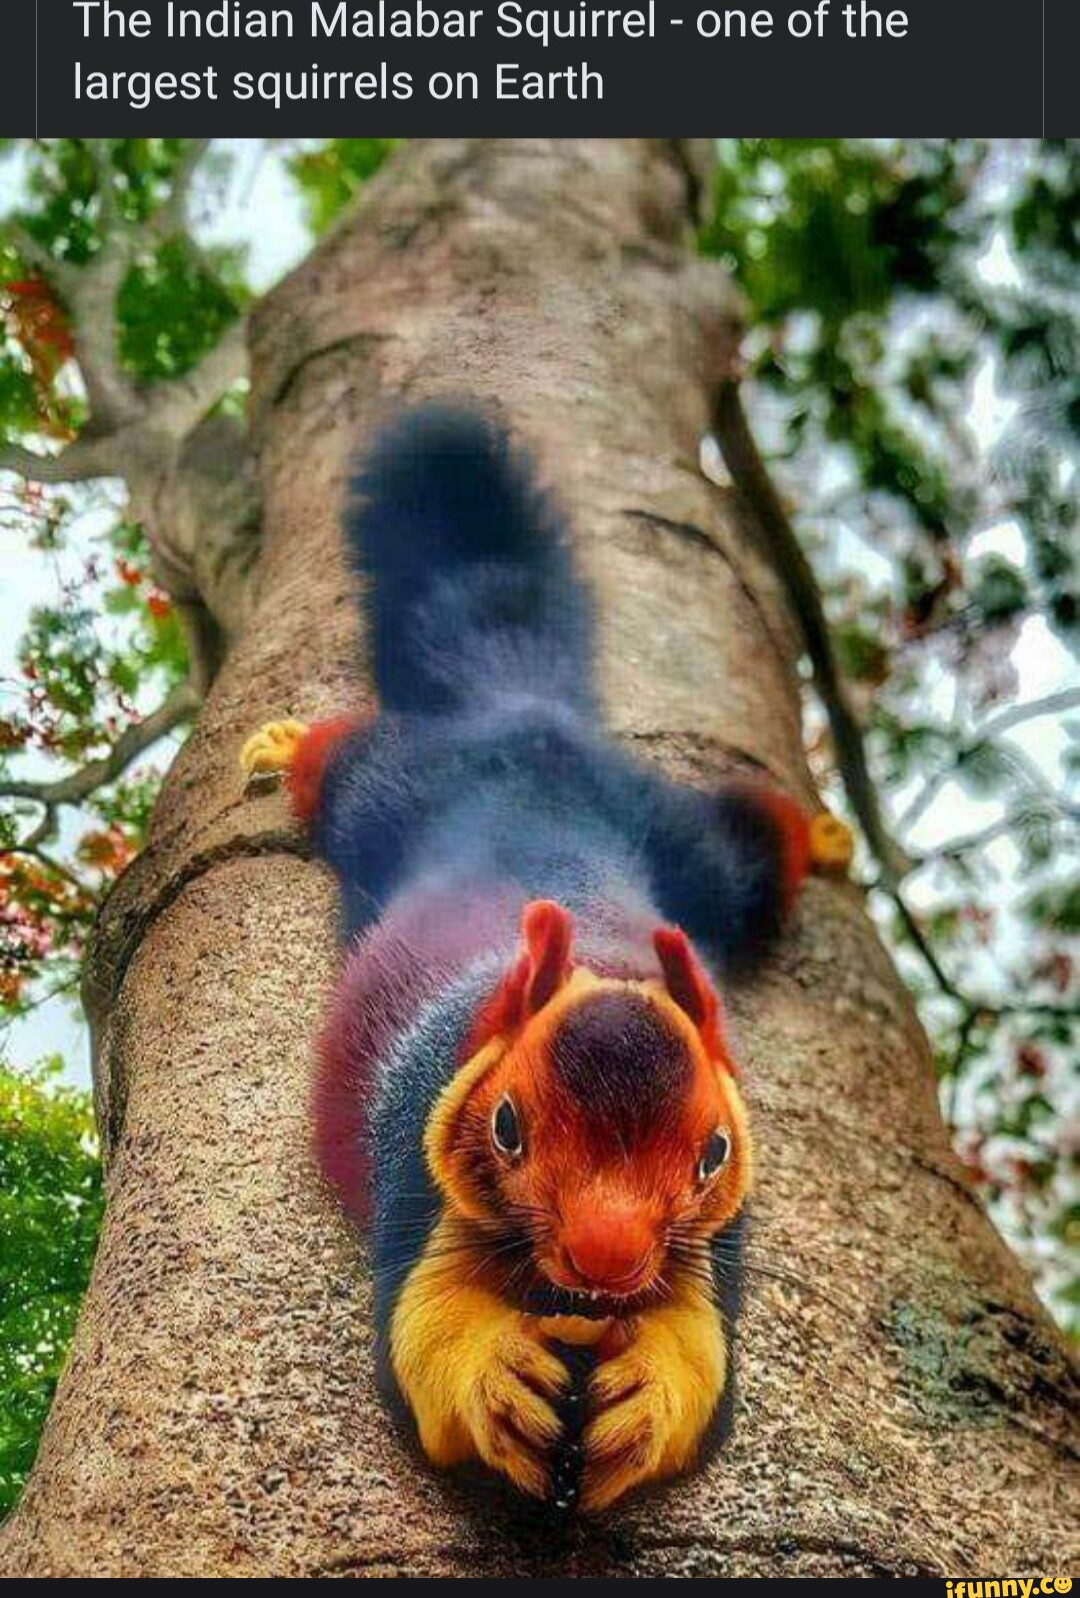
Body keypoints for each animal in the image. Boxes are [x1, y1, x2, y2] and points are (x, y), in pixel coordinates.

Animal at [240, 404, 853, 1513]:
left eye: (714, 1151)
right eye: (508, 1127)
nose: (606, 1259)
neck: (608, 970)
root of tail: (529, 723)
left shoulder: (721, 1231)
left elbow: (703, 1351)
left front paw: (647, 1391)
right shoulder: (417, 1139)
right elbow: (419, 1326)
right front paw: (497, 1377)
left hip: (686, 844)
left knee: (749, 845)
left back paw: (819, 836)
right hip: (397, 789)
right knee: (348, 765)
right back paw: (291, 744)